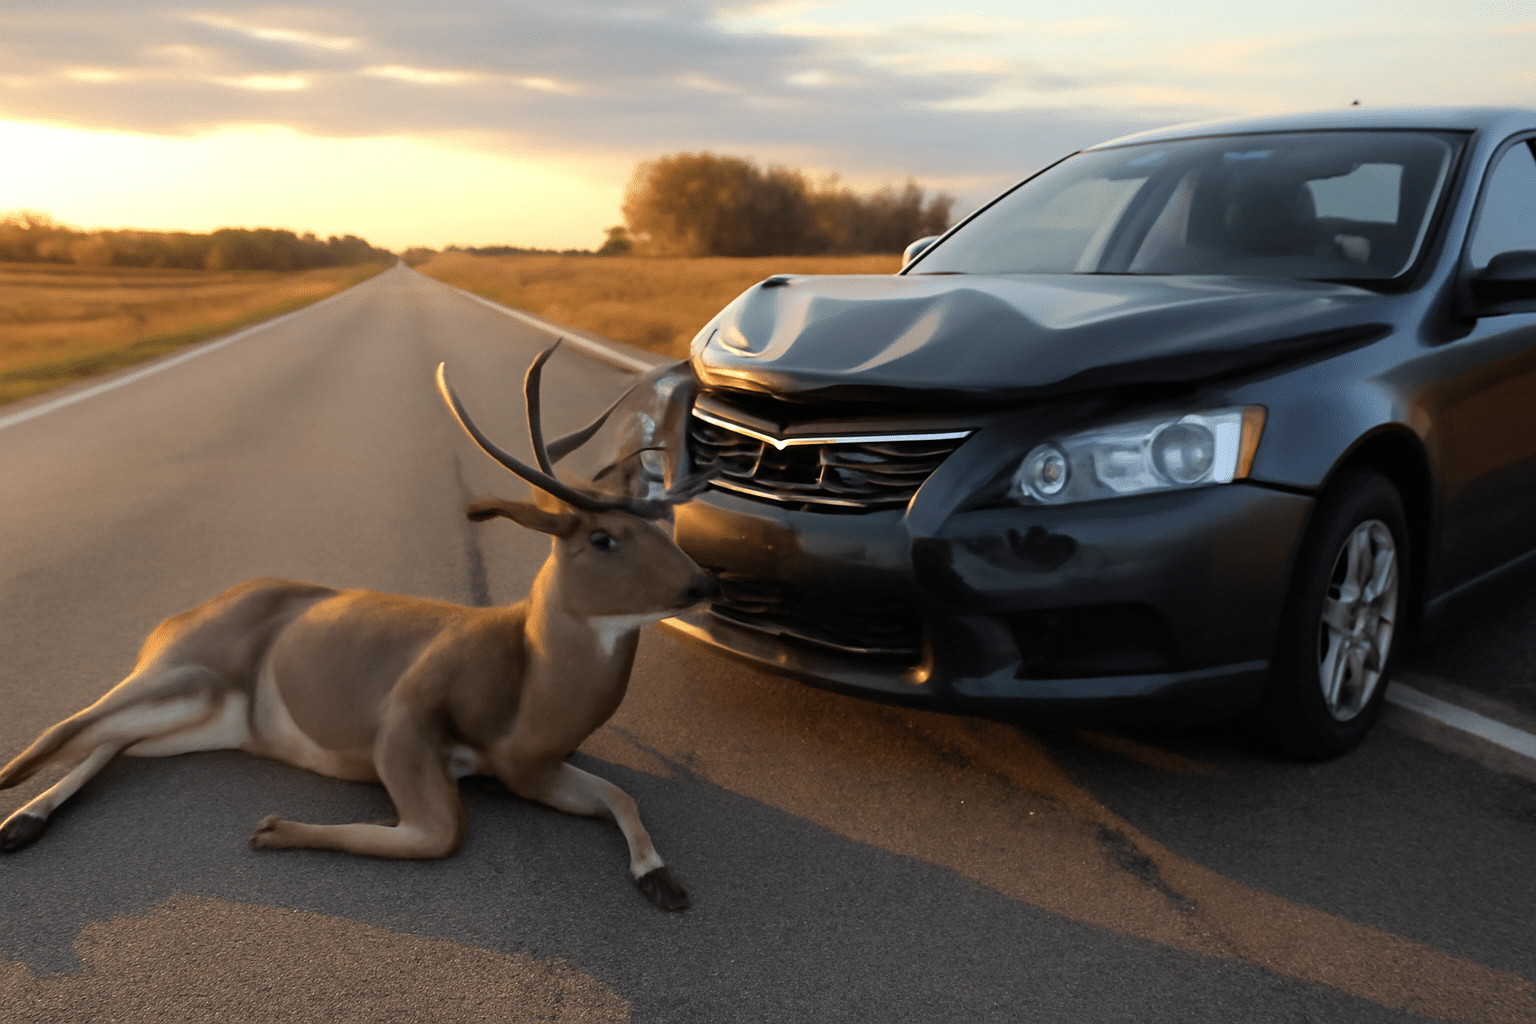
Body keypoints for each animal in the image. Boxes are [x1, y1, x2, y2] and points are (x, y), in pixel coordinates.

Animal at [0, 343, 716, 911]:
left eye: (661, 525)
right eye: (603, 537)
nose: (701, 584)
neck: (529, 686)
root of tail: (180, 614)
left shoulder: (530, 768)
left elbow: (621, 793)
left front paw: (661, 879)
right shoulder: (404, 717)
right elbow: (440, 834)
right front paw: (275, 830)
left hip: (209, 720)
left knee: (116, 740)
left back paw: (25, 821)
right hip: (185, 667)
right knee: (67, 727)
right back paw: (14, 802)